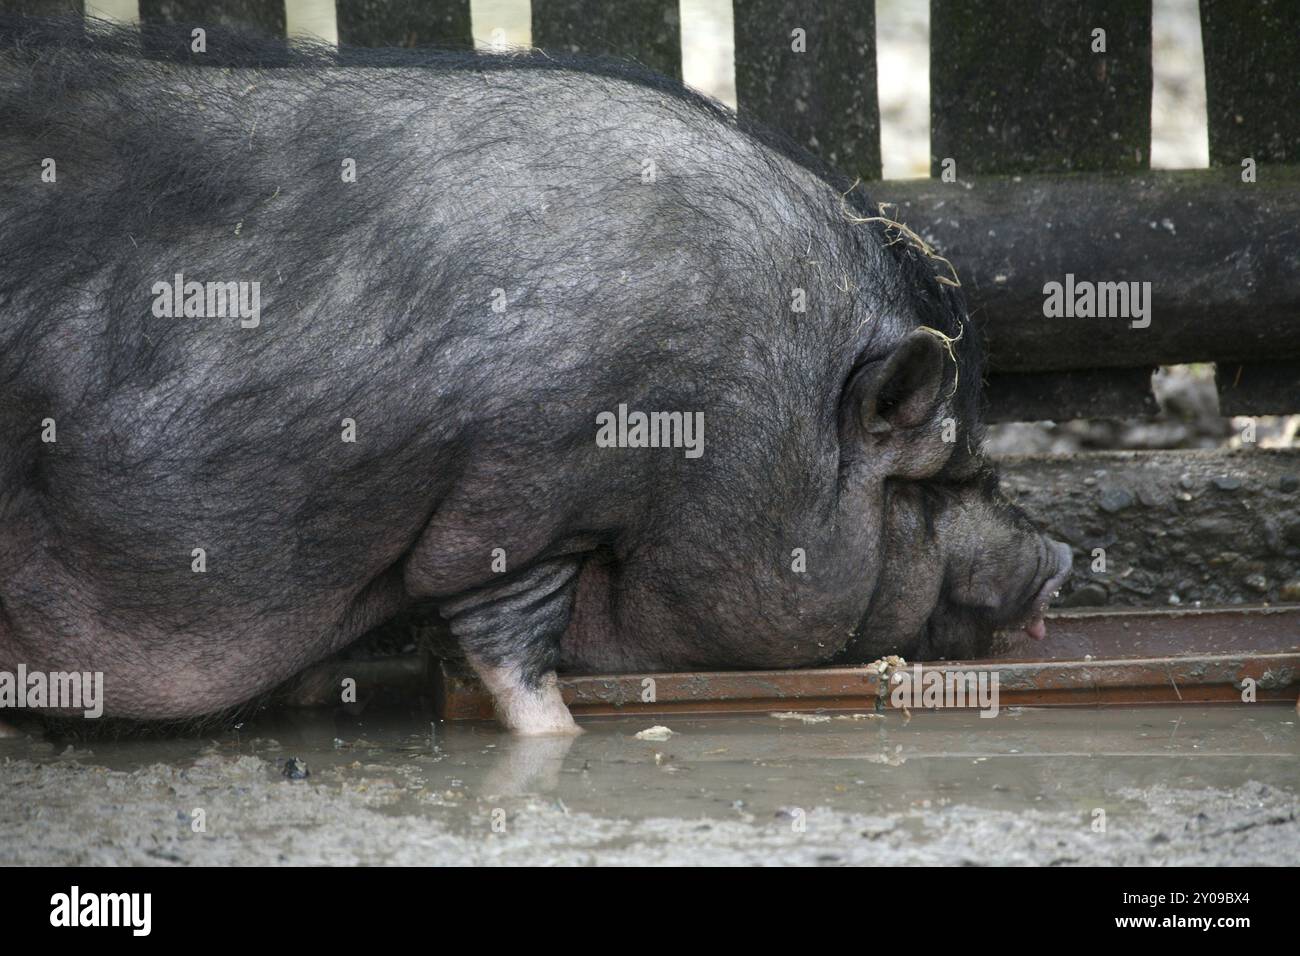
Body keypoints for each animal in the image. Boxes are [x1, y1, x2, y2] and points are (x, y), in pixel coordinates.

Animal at [0, 19, 1071, 735]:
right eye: (940, 479)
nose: (1060, 557)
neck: (731, 422)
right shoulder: (522, 495)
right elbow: (512, 656)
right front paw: (564, 742)